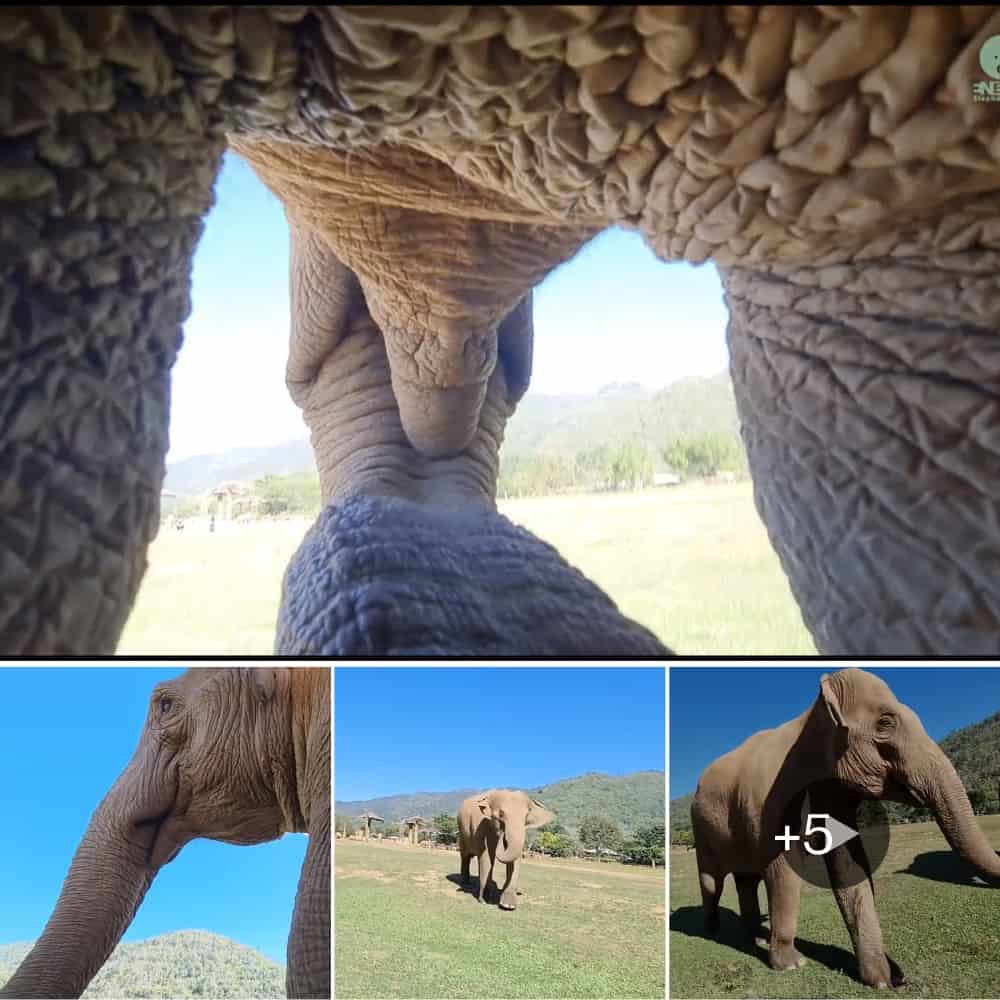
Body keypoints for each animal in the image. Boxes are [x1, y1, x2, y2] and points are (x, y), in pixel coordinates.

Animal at [690, 667, 1000, 989]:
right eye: (885, 723)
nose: (902, 980)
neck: (808, 719)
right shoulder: (768, 801)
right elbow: (783, 871)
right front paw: (792, 965)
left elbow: (849, 863)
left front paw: (881, 980)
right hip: (701, 830)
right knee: (712, 882)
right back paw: (712, 930)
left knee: (746, 880)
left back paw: (756, 938)